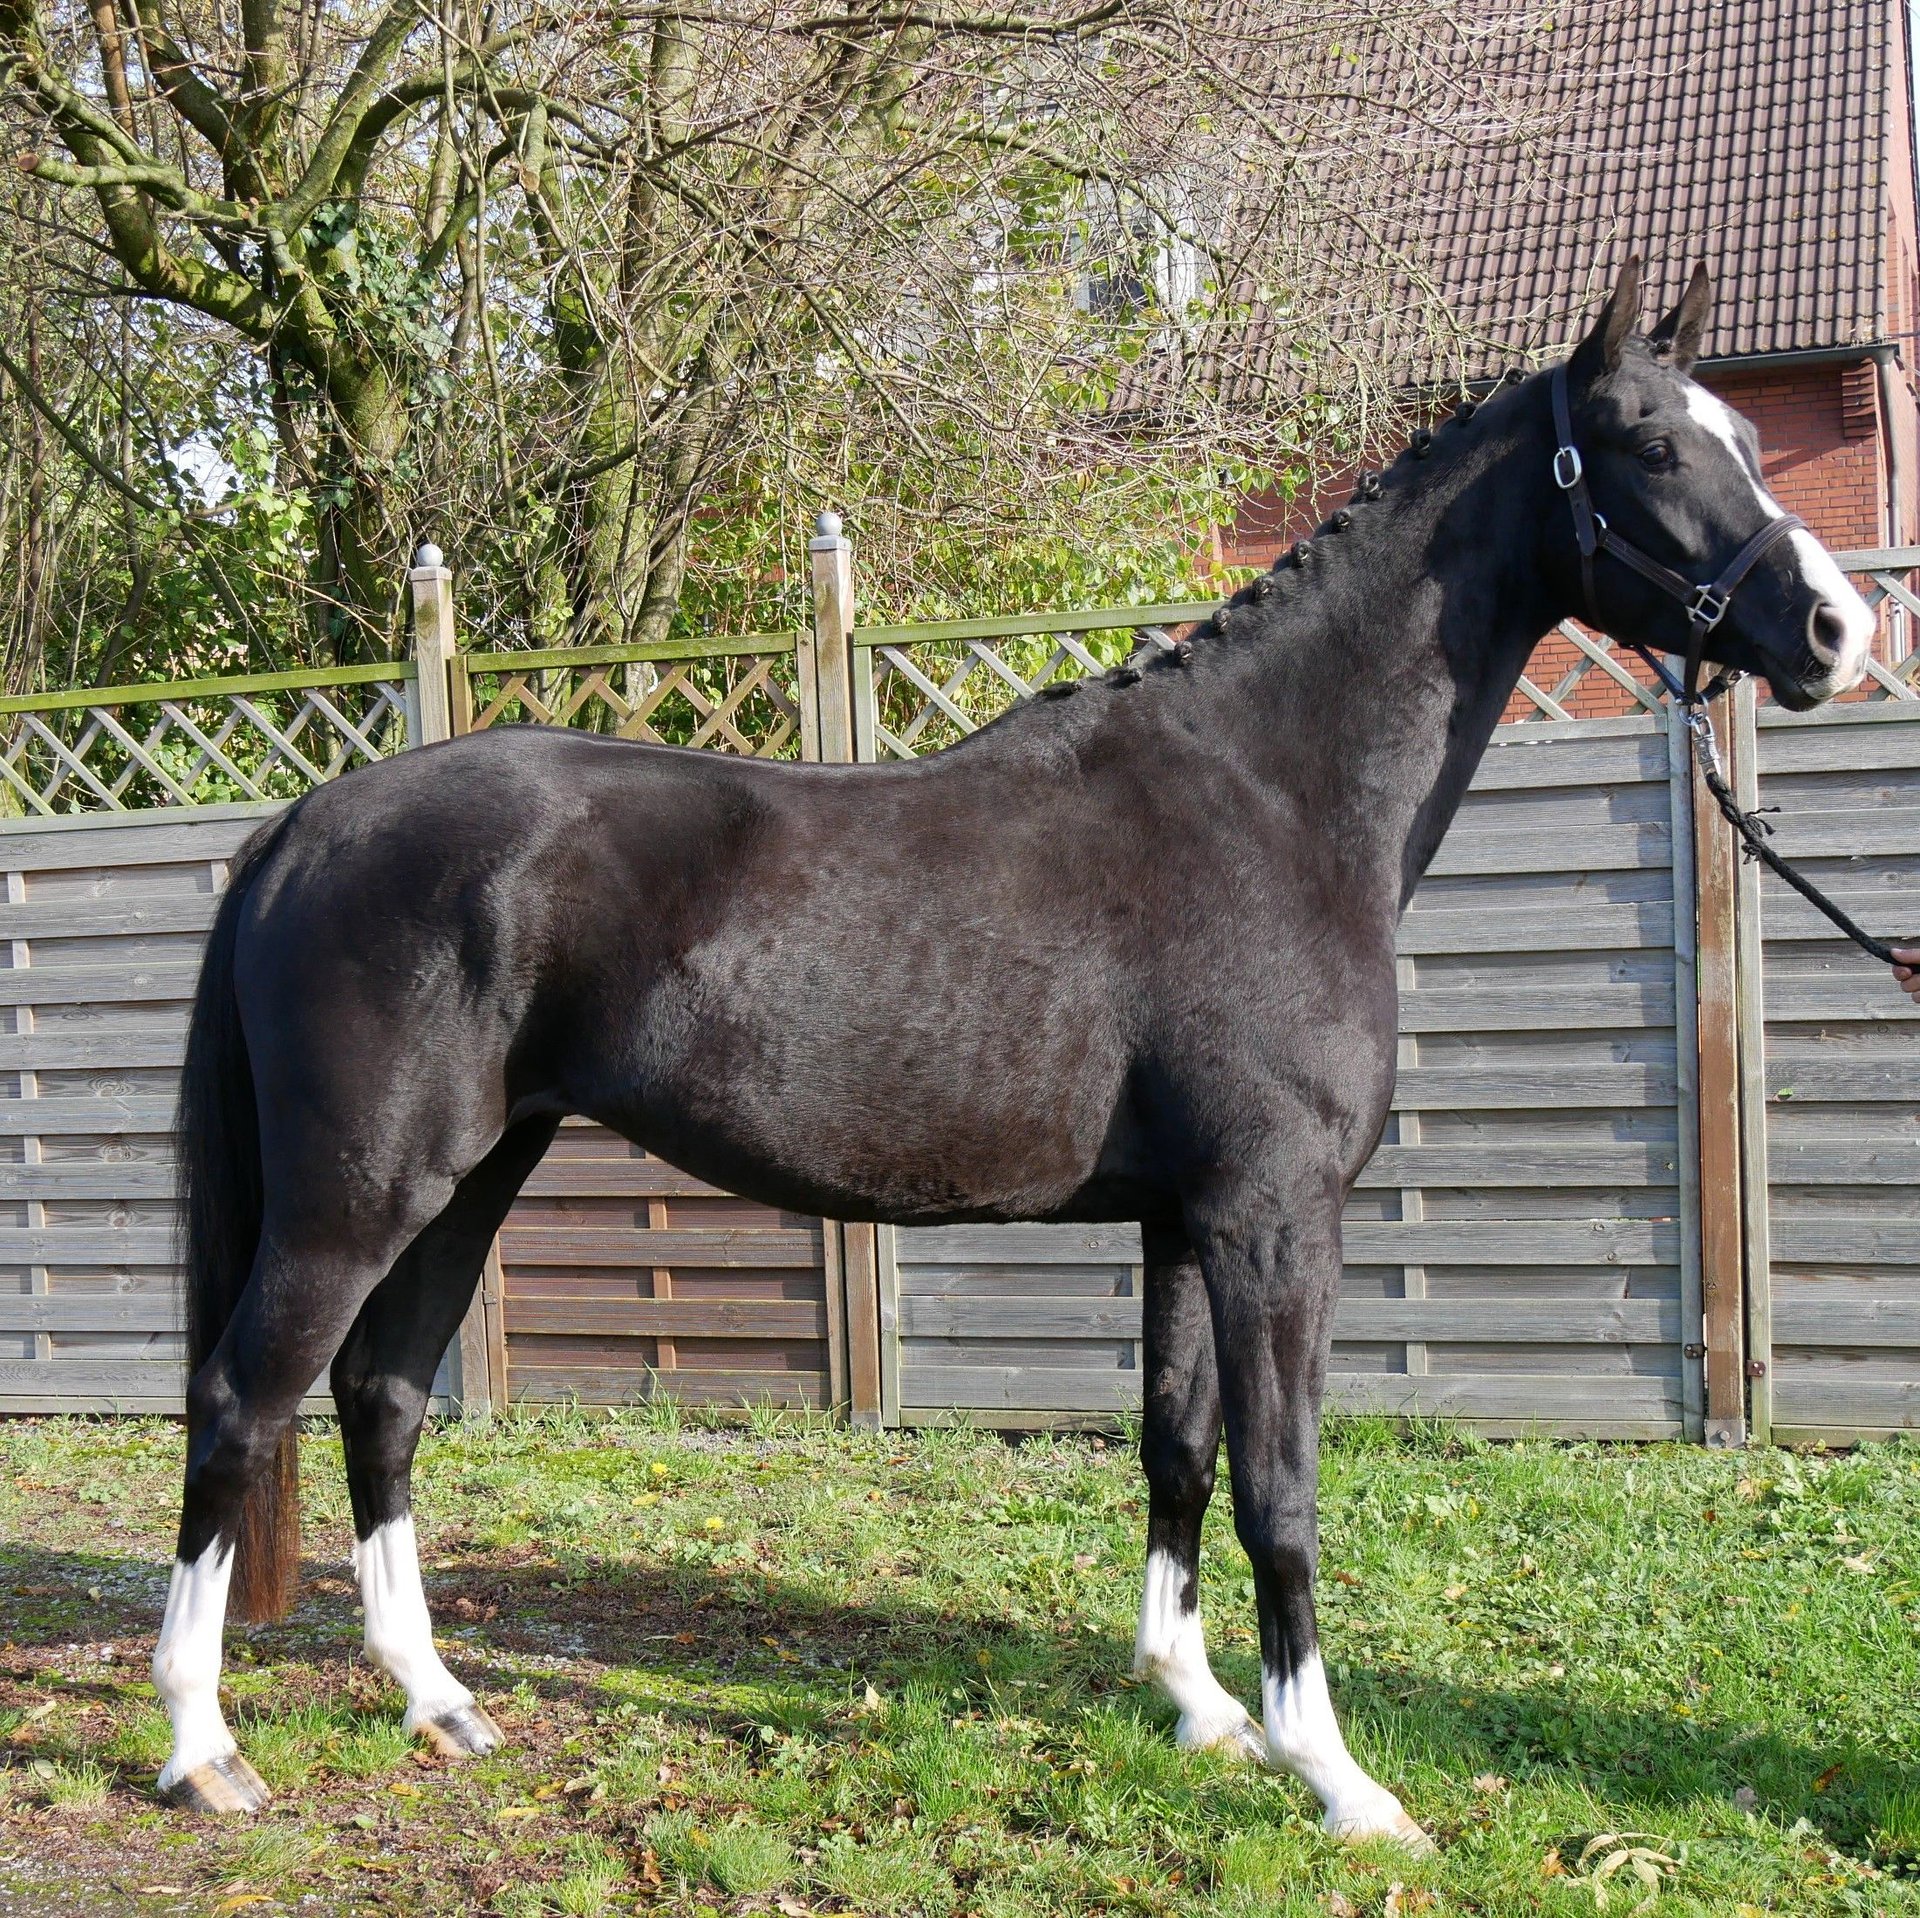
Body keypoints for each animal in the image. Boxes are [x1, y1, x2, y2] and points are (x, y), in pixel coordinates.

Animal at [154, 259, 1873, 1843]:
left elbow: (1177, 1451)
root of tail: (309, 821)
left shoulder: (1186, 1221)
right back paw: (201, 1743)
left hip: (471, 1178)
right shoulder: (1274, 1220)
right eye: (1645, 439)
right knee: (242, 1400)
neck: (1269, 798)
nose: (1837, 628)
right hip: (359, 1196)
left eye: (1743, 433)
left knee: (380, 1395)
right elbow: (1281, 1489)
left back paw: (437, 1699)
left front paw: (1197, 1709)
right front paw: (1336, 1777)